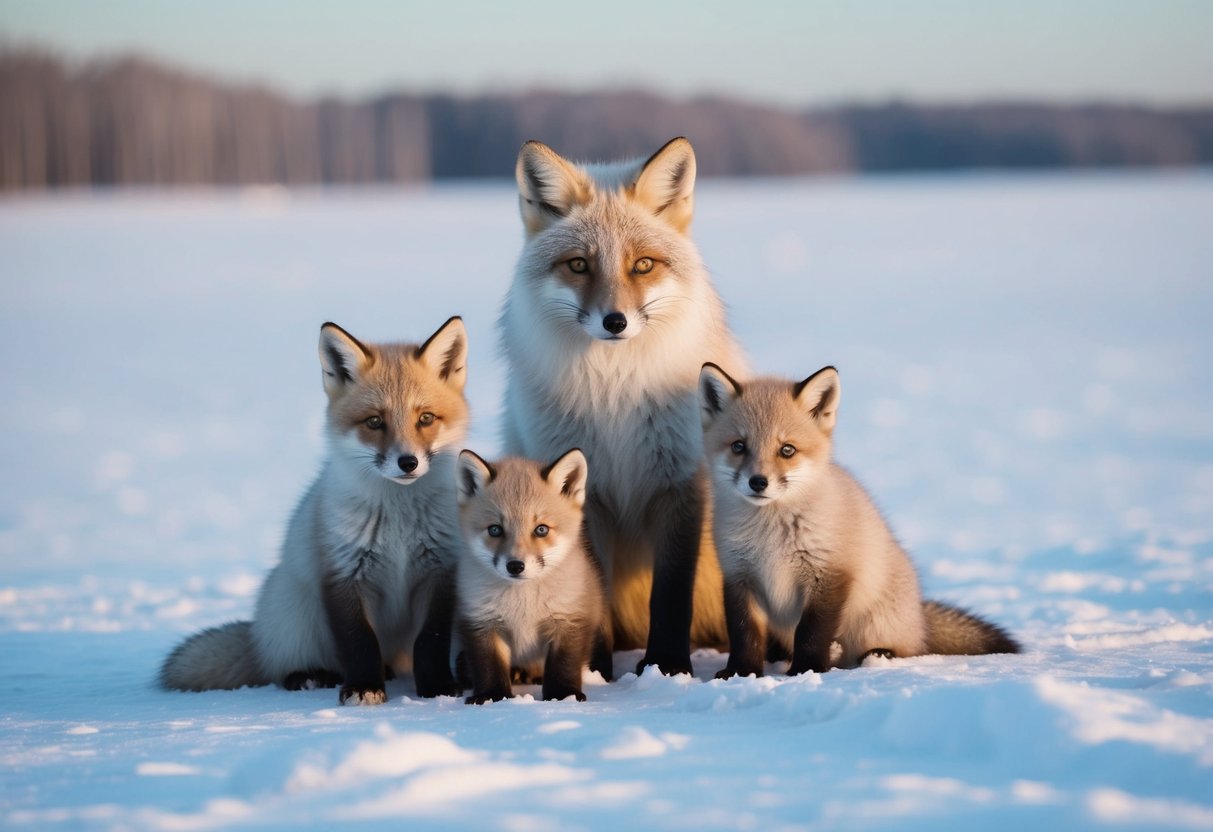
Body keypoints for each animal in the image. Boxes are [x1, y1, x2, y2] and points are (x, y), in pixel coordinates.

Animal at [159, 318, 469, 704]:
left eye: (425, 418)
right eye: (374, 422)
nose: (408, 462)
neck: (398, 526)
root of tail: (256, 638)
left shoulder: (440, 571)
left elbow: (431, 642)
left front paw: (438, 689)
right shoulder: (343, 572)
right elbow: (359, 641)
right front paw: (363, 688)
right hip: (295, 611)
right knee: (287, 666)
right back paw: (311, 676)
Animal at [455, 448, 607, 704]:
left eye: (541, 529)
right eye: (495, 529)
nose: (516, 566)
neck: (522, 604)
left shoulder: (568, 619)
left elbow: (563, 665)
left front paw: (563, 695)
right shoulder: (481, 621)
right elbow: (488, 666)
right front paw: (492, 697)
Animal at [500, 137, 747, 676]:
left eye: (643, 265)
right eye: (578, 265)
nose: (615, 322)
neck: (615, 397)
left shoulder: (680, 482)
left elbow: (671, 595)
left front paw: (668, 666)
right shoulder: (585, 497)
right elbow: (592, 588)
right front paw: (594, 668)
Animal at [698, 363, 1020, 678]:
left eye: (787, 449)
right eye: (738, 446)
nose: (758, 482)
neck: (769, 536)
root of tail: (920, 616)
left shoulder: (829, 574)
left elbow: (812, 631)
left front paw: (807, 669)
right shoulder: (739, 575)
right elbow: (744, 633)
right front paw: (742, 672)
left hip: (875, 623)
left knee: (900, 649)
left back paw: (874, 655)